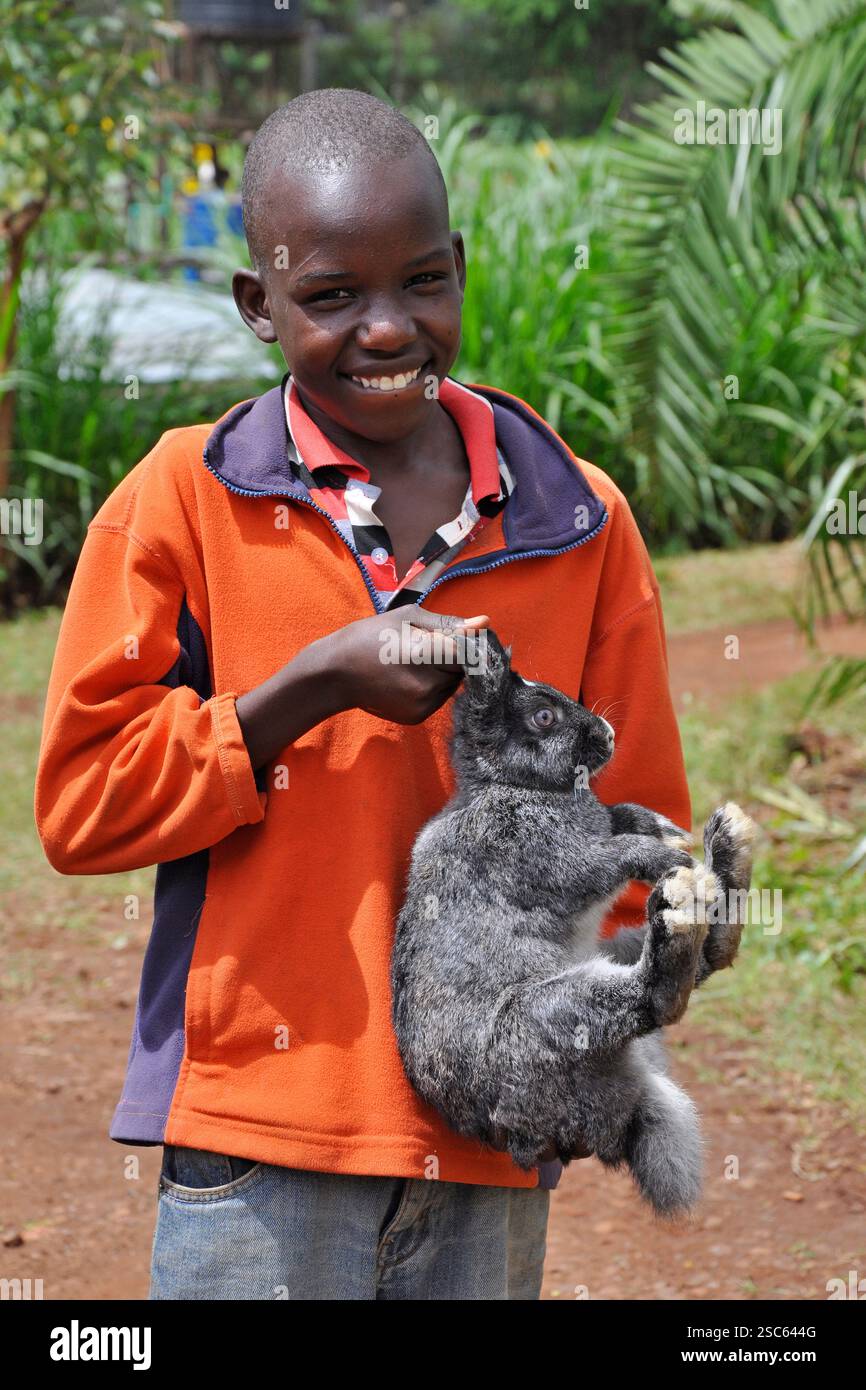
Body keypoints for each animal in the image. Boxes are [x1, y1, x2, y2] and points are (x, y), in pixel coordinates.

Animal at [390, 628, 756, 1216]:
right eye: (543, 717)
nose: (607, 733)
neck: (518, 786)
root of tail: (624, 1117)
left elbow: (619, 816)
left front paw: (667, 830)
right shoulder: (554, 860)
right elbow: (610, 853)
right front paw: (663, 853)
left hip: (607, 957)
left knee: (706, 960)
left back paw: (725, 852)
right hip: (551, 1016)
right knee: (655, 999)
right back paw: (693, 892)